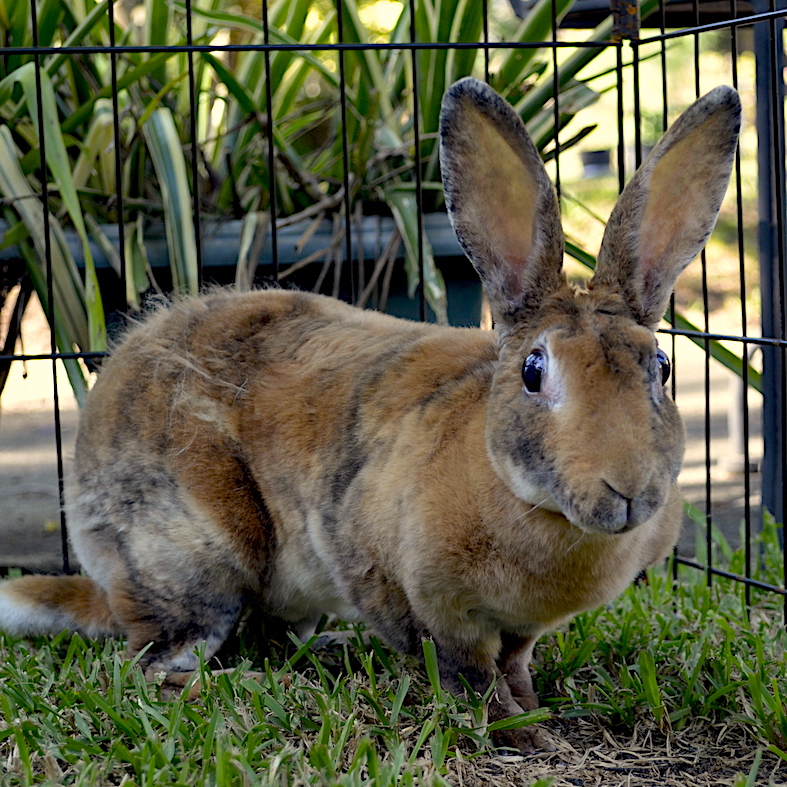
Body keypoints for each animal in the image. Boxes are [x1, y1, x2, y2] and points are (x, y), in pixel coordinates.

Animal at [0, 78, 740, 754]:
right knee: (154, 662)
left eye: (662, 368)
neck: (525, 500)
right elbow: (466, 669)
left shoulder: (519, 629)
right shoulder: (394, 580)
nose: (628, 491)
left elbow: (515, 661)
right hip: (195, 559)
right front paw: (518, 730)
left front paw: (534, 709)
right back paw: (245, 684)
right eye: (534, 372)